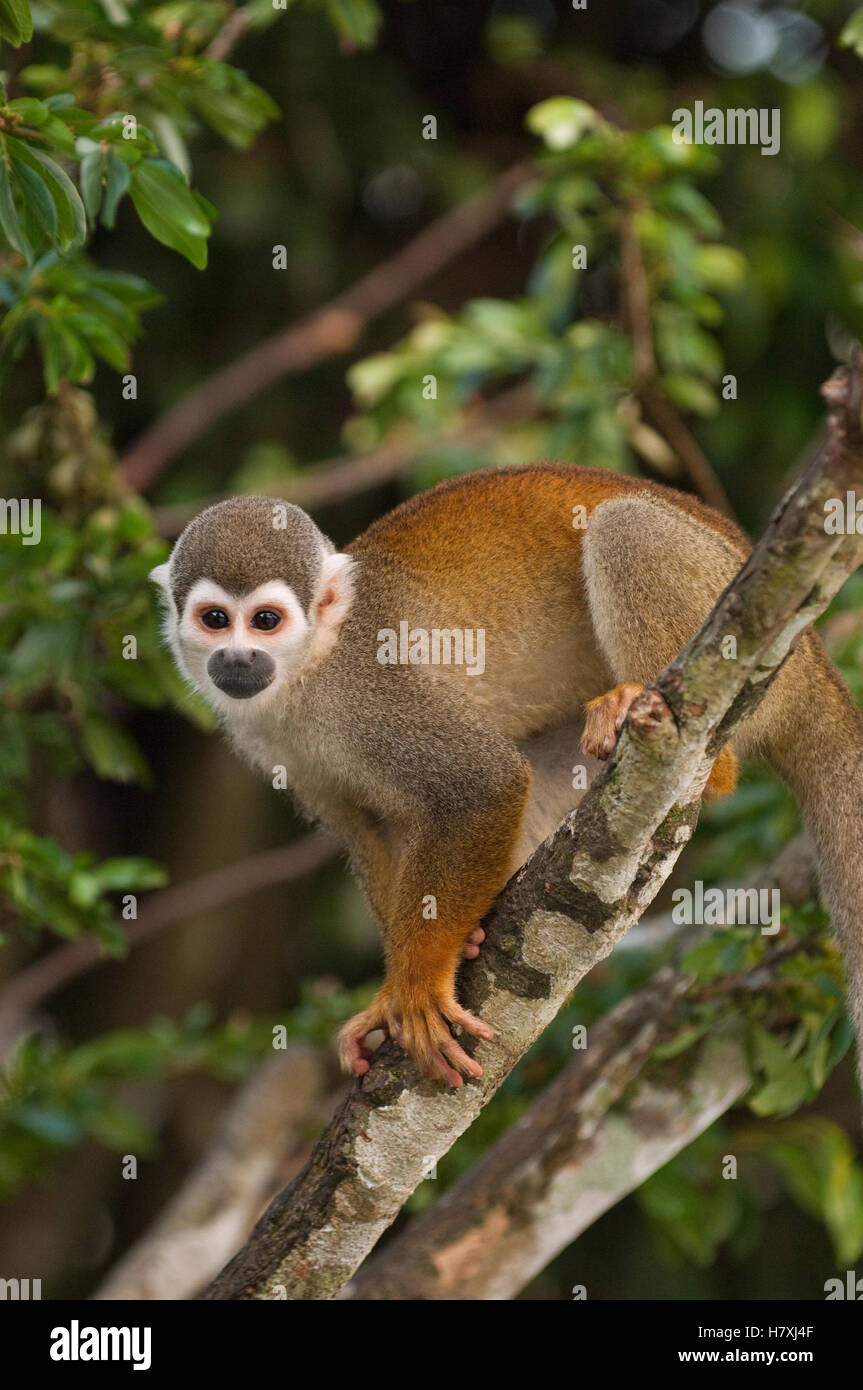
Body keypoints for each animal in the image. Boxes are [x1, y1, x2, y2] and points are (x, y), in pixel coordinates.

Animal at [150, 463, 863, 1090]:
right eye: (216, 620)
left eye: (265, 621)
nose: (238, 659)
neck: (307, 672)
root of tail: (816, 661)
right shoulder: (271, 741)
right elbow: (372, 828)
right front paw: (399, 986)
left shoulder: (374, 689)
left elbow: (481, 785)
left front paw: (418, 981)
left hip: (750, 635)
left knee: (628, 529)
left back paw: (692, 751)